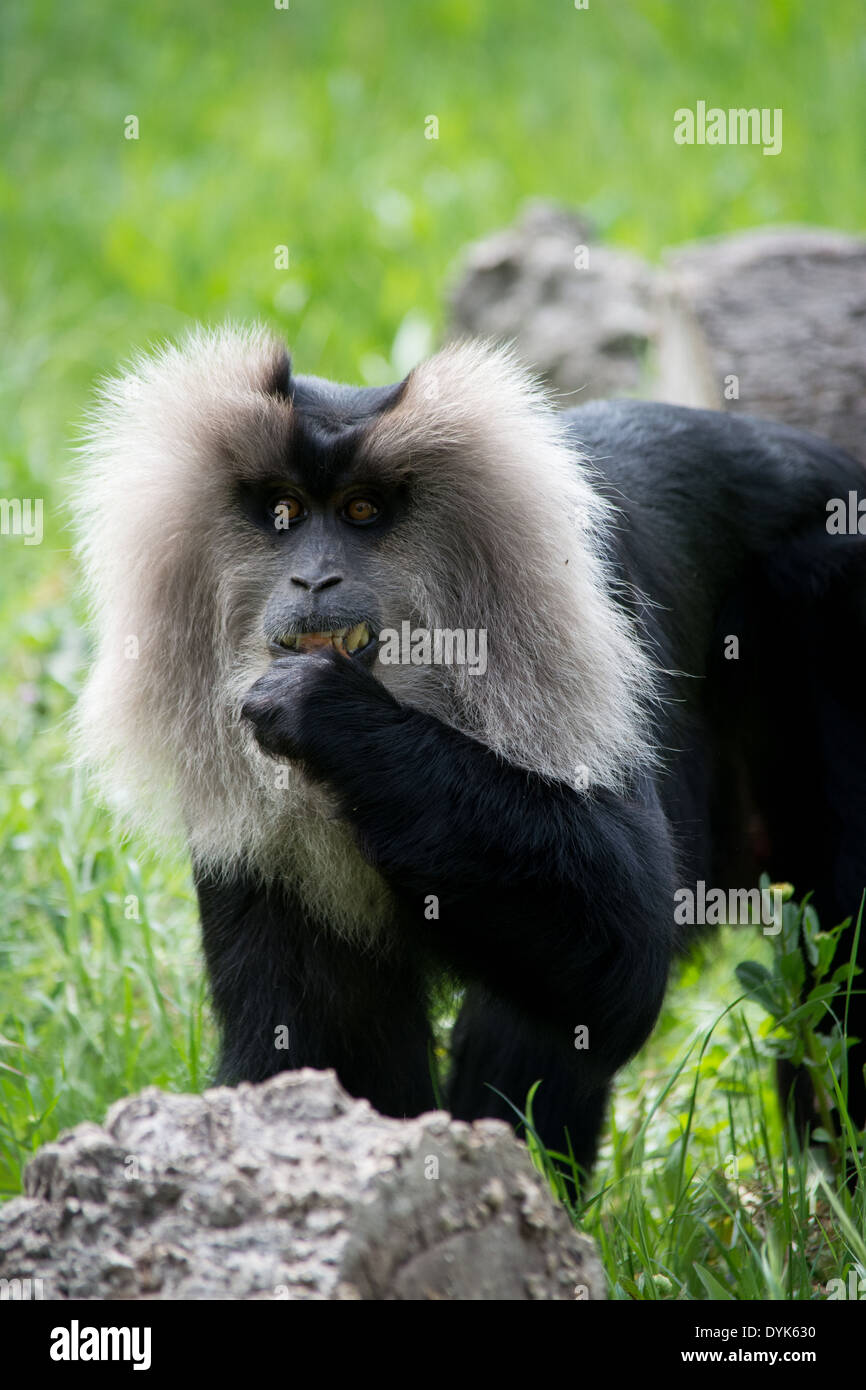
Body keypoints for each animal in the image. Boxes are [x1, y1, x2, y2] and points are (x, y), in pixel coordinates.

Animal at [75, 324, 866, 1174]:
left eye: (361, 510)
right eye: (284, 511)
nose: (313, 580)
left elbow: (625, 955)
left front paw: (326, 709)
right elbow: (319, 1045)